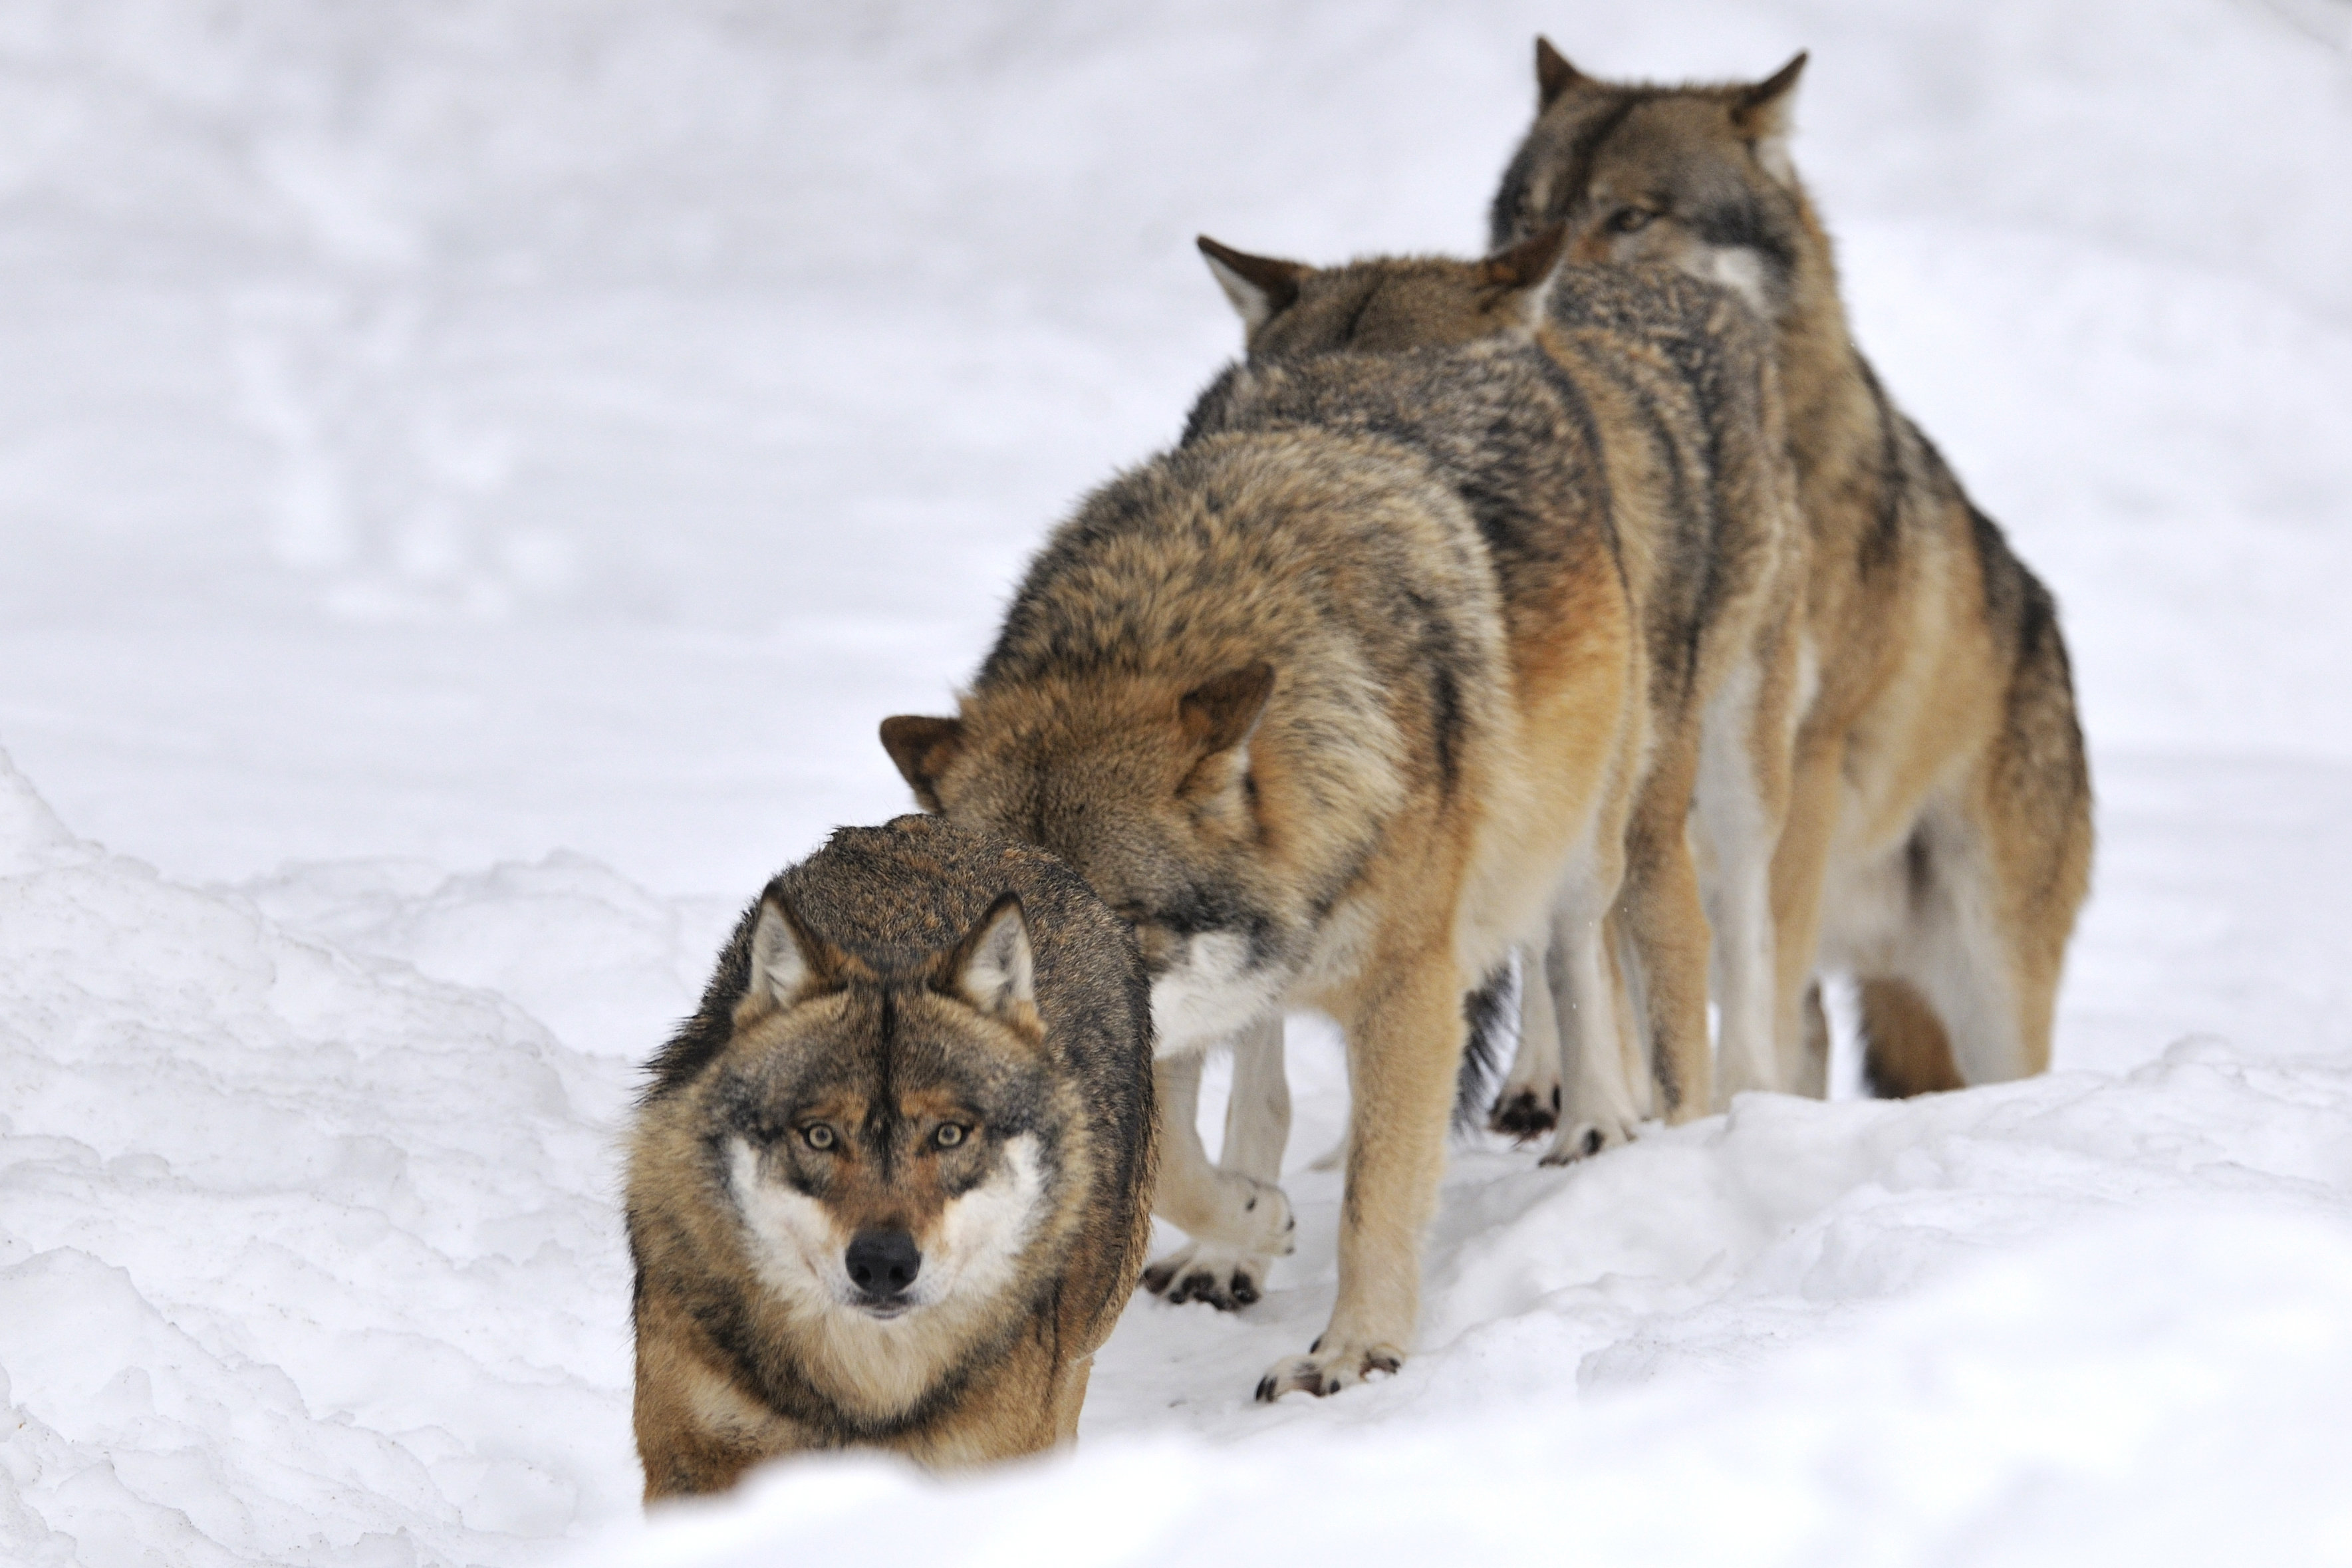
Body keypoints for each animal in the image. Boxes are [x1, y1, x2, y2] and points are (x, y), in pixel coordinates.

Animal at [625, 815, 1156, 1494]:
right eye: (820, 1135)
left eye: (949, 1135)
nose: (882, 1264)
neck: (869, 1390)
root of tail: (952, 829)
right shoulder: (691, 1464)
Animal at [881, 274, 1794, 1395]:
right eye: (993, 945)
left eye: (1107, 922)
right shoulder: (1179, 1017)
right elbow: (1185, 1160)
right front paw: (1253, 1220)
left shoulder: (1409, 988)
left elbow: (1375, 1189)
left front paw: (1354, 1350)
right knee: (1267, 1080)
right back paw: (1231, 1247)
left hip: (1597, 818)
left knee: (1582, 948)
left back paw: (1600, 1123)